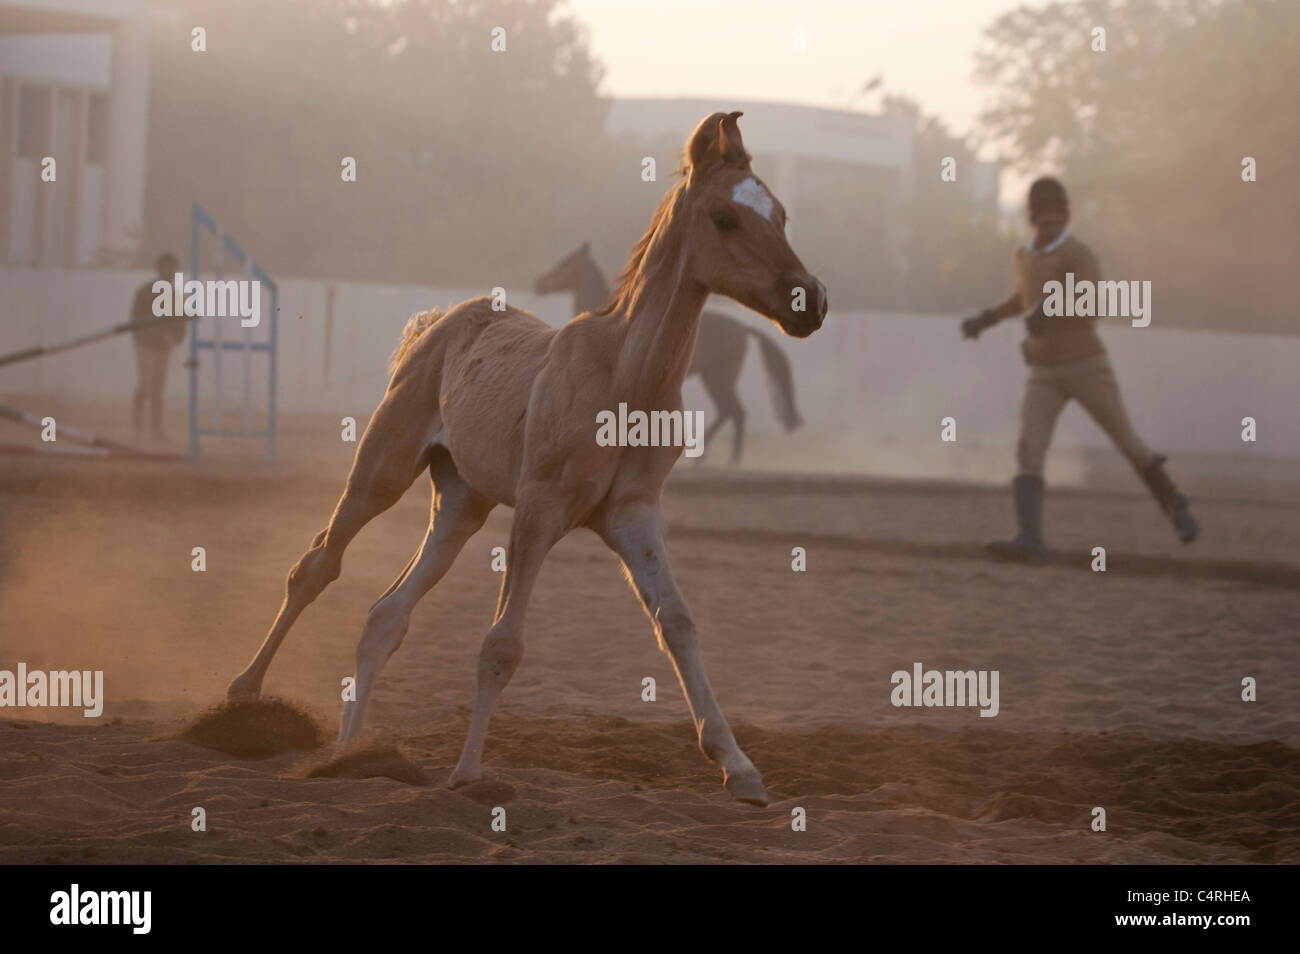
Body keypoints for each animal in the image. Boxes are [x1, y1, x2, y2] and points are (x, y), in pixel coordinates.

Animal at [536, 242, 804, 463]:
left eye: (564, 263)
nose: (540, 283)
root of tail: (743, 329)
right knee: (729, 412)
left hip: (718, 377)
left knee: (734, 412)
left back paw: (725, 459)